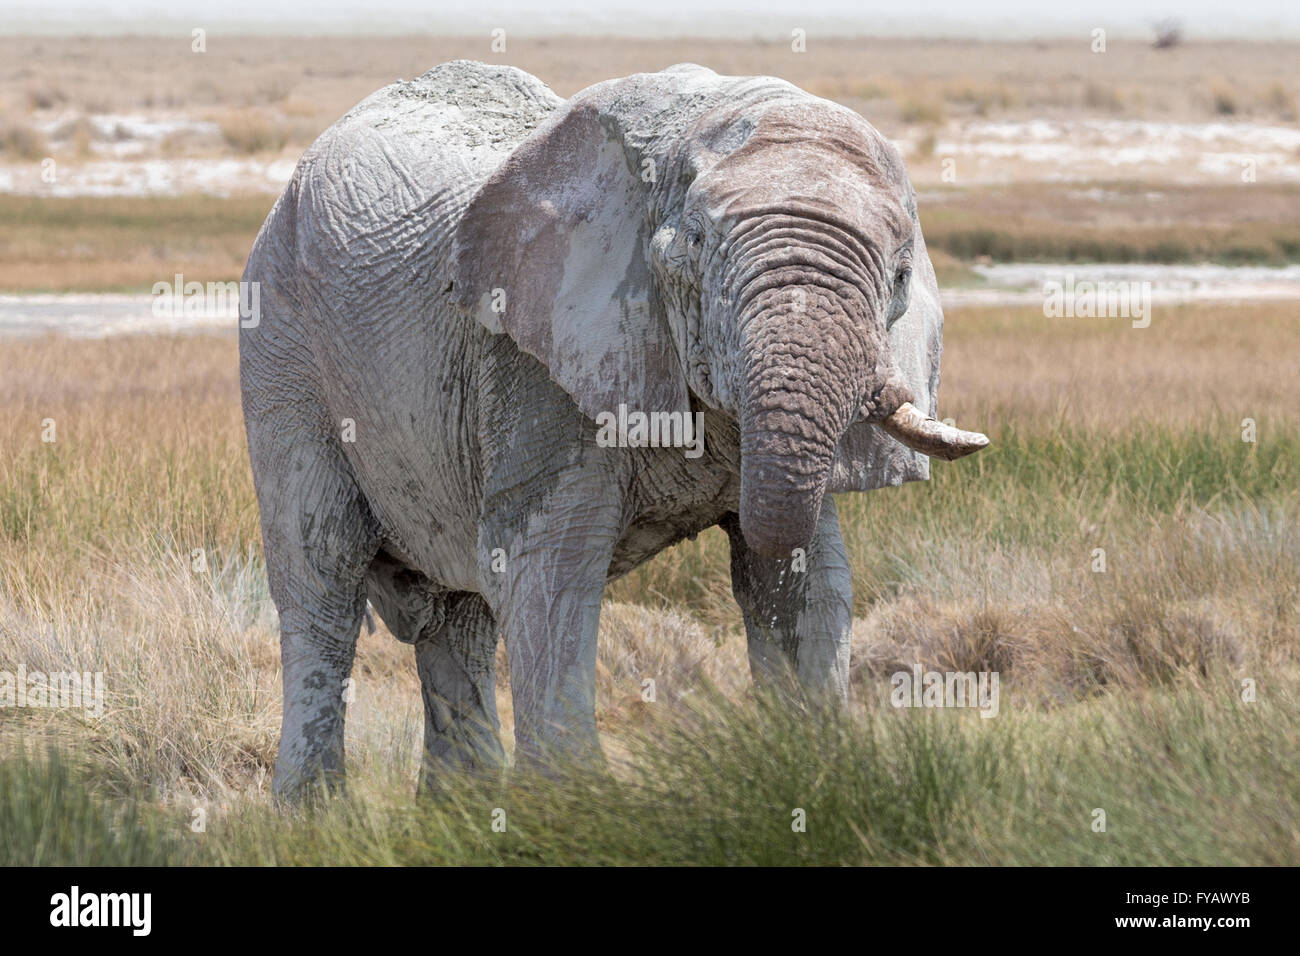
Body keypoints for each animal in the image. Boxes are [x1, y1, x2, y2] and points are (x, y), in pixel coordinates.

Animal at [240, 60, 988, 800]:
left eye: (900, 275)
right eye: (694, 249)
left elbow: (811, 574)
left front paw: (810, 774)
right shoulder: (536, 359)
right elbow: (549, 562)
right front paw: (577, 806)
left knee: (460, 615)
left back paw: (462, 813)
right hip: (282, 346)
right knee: (323, 574)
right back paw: (316, 814)